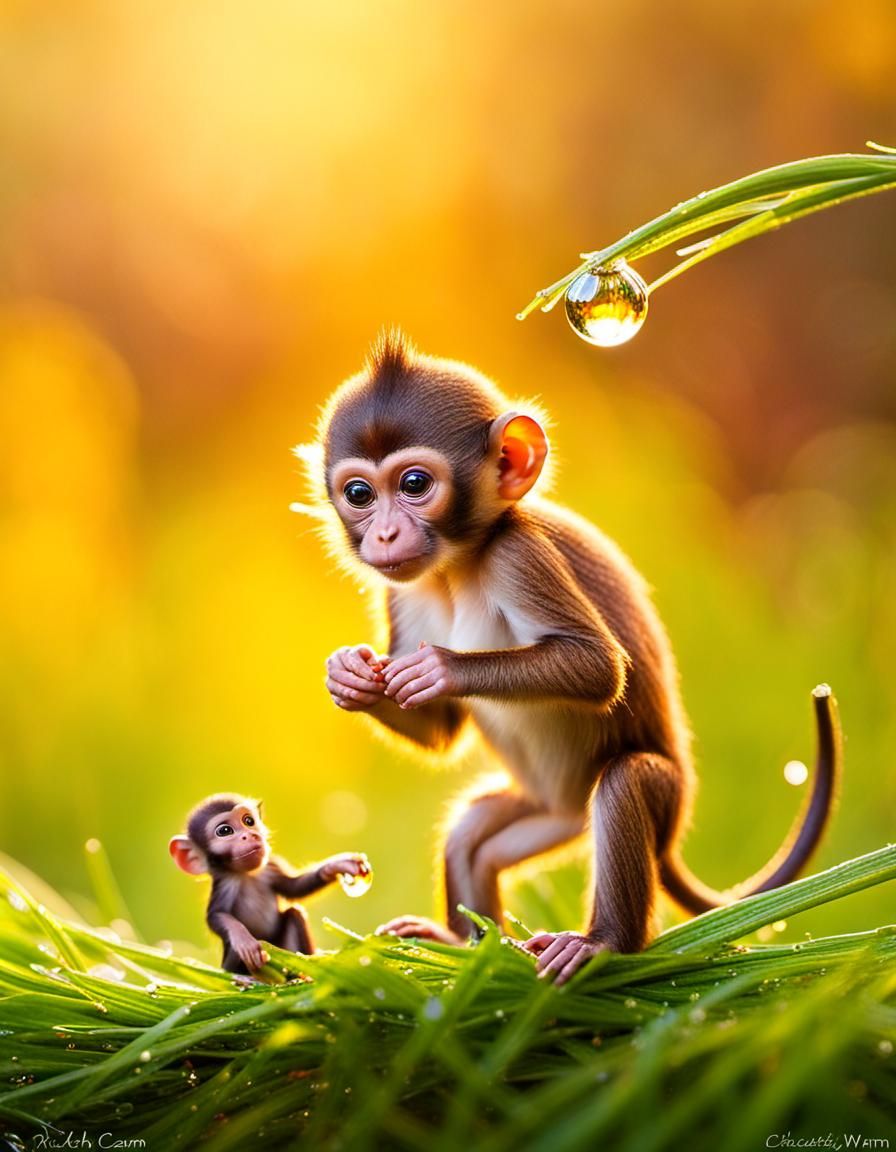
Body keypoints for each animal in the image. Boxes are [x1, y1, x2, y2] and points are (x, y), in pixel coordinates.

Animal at [169, 794, 371, 974]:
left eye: (248, 821)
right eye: (225, 831)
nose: (250, 835)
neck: (248, 875)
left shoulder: (271, 867)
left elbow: (294, 888)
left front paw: (339, 864)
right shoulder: (225, 883)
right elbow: (216, 915)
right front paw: (242, 938)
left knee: (294, 914)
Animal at [298, 330, 841, 986]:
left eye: (413, 485)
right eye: (358, 493)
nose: (382, 536)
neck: (456, 571)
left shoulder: (518, 555)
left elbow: (598, 667)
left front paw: (442, 669)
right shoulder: (398, 592)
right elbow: (440, 731)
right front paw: (350, 679)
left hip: (652, 800)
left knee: (626, 782)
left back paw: (601, 944)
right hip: (547, 815)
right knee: (472, 831)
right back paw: (465, 944)